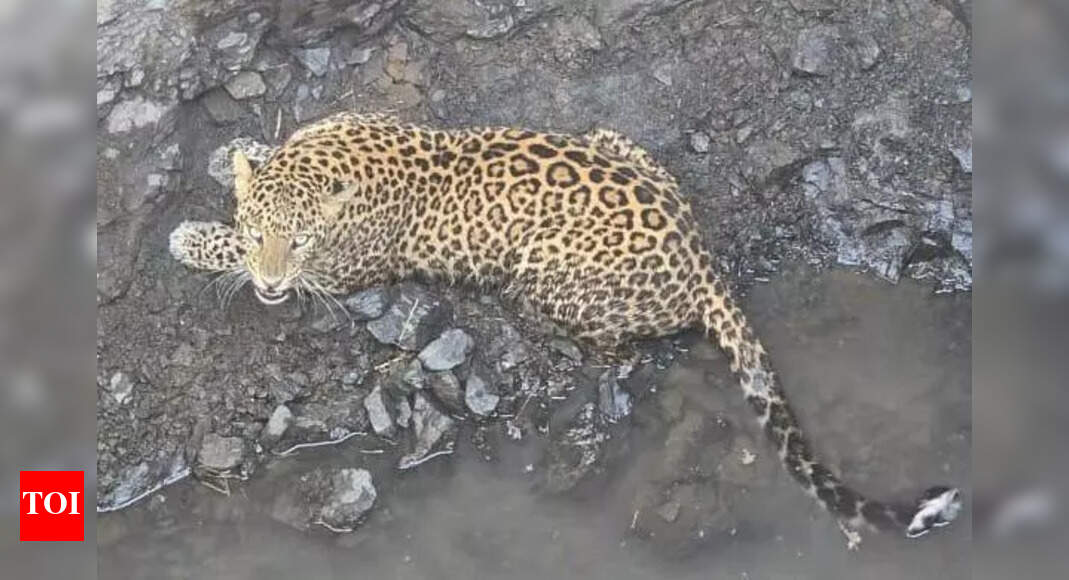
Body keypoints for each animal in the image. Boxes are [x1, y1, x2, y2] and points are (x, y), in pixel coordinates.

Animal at [169, 111, 962, 542]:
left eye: (297, 244)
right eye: (262, 233)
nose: (272, 283)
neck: (330, 161)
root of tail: (701, 262)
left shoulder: (343, 273)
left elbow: (234, 253)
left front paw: (192, 239)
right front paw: (237, 159)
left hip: (548, 273)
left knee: (618, 348)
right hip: (615, 140)